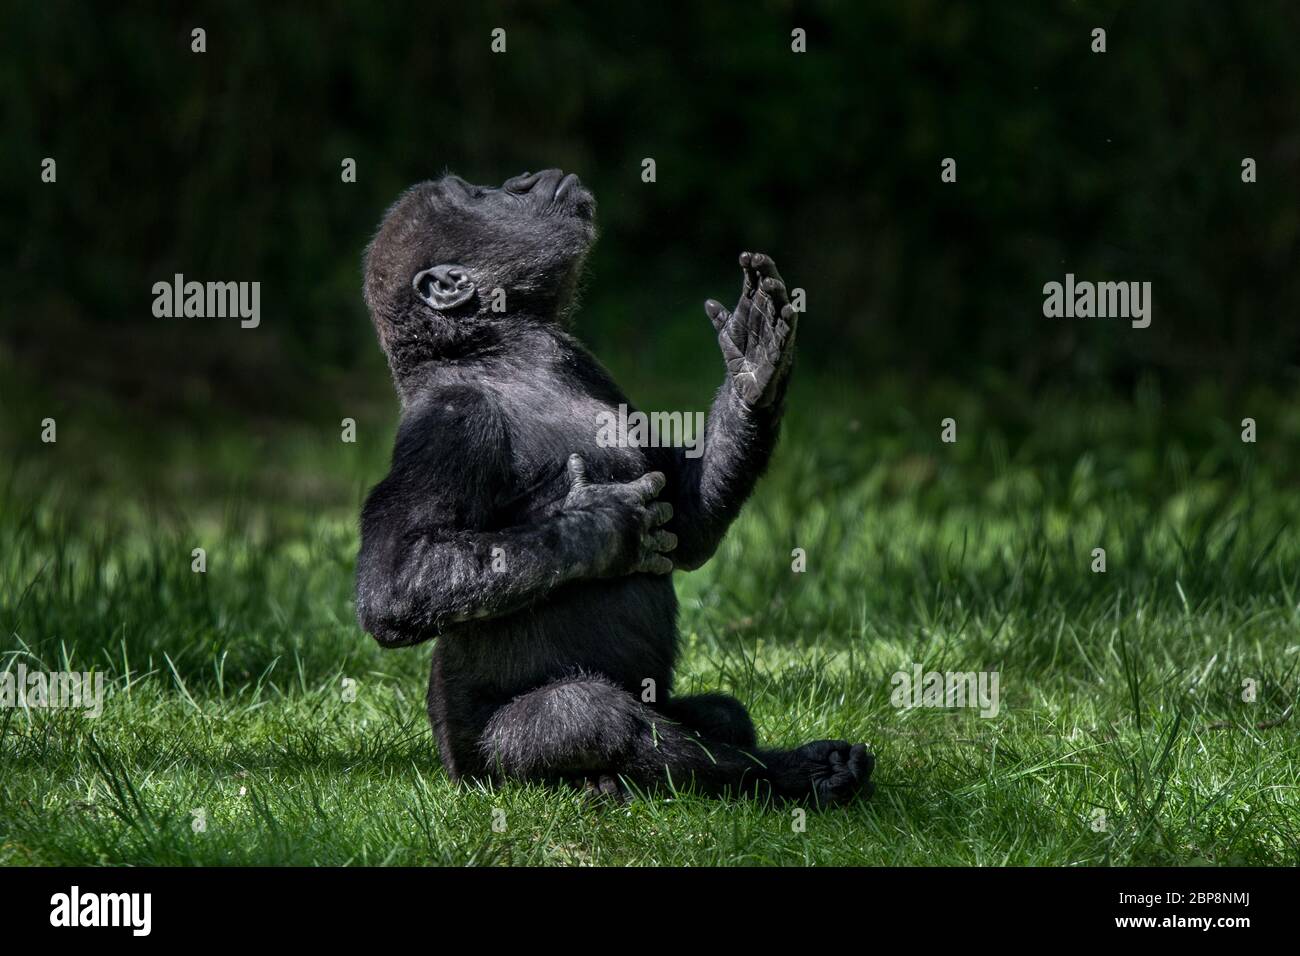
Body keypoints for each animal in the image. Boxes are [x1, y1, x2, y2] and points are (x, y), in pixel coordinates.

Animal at [355, 169, 873, 804]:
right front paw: (599, 530)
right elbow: (394, 585)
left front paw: (755, 368)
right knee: (587, 715)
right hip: (482, 771)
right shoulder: (451, 420)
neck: (499, 354)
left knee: (721, 716)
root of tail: (450, 772)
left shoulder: (586, 364)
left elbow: (686, 522)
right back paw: (783, 775)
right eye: (479, 195)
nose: (522, 180)